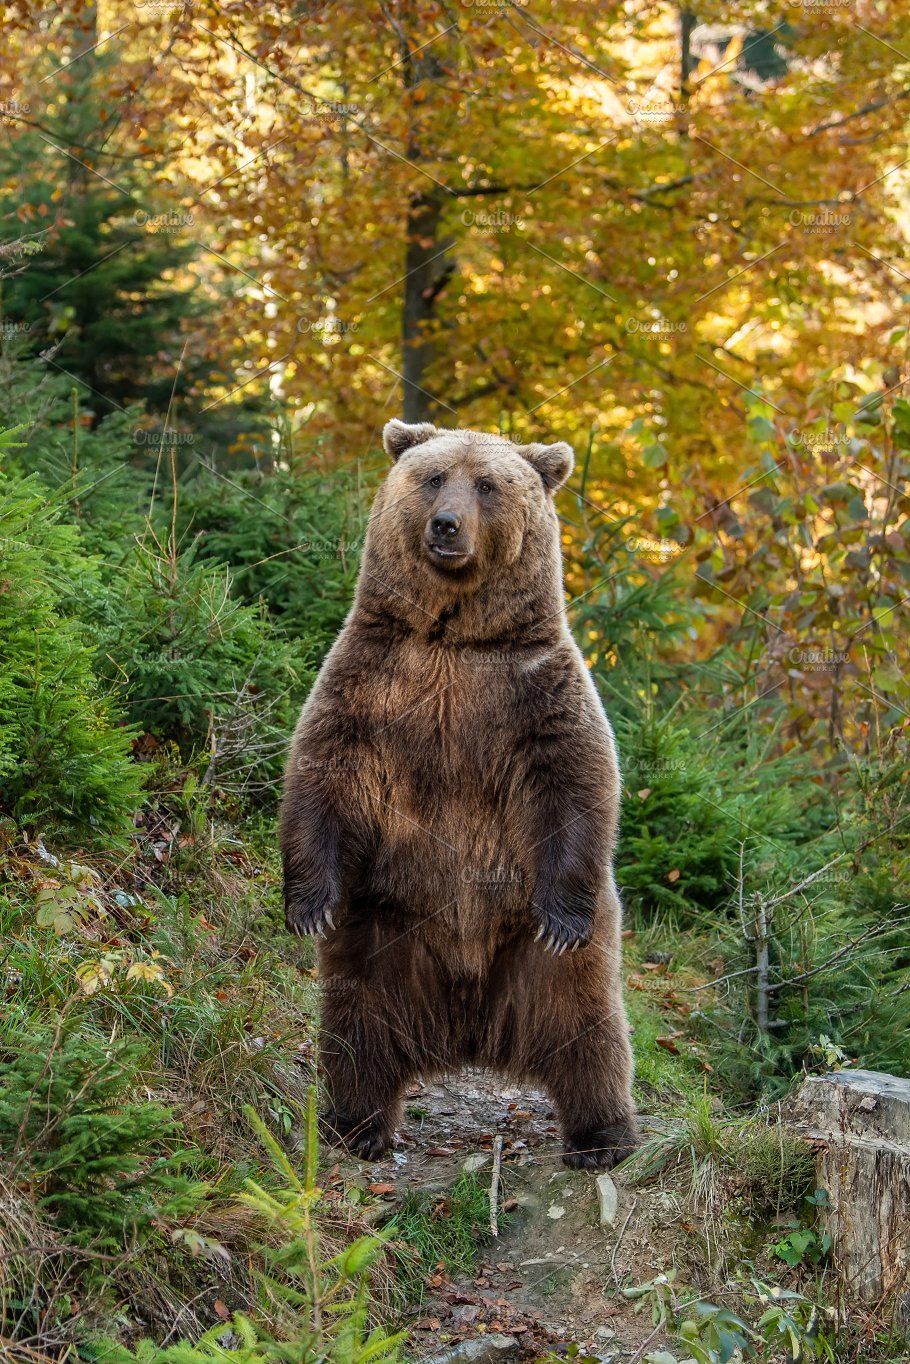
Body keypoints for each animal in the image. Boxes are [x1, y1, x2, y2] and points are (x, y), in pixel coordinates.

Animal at [280, 419, 638, 1169]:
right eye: (433, 476)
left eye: (489, 484)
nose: (446, 526)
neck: (454, 637)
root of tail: (471, 1029)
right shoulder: (373, 679)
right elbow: (322, 771)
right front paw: (305, 906)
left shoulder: (534, 686)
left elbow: (579, 777)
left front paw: (562, 916)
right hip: (382, 929)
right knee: (358, 1030)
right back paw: (354, 1126)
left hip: (540, 954)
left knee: (589, 1032)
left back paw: (603, 1137)